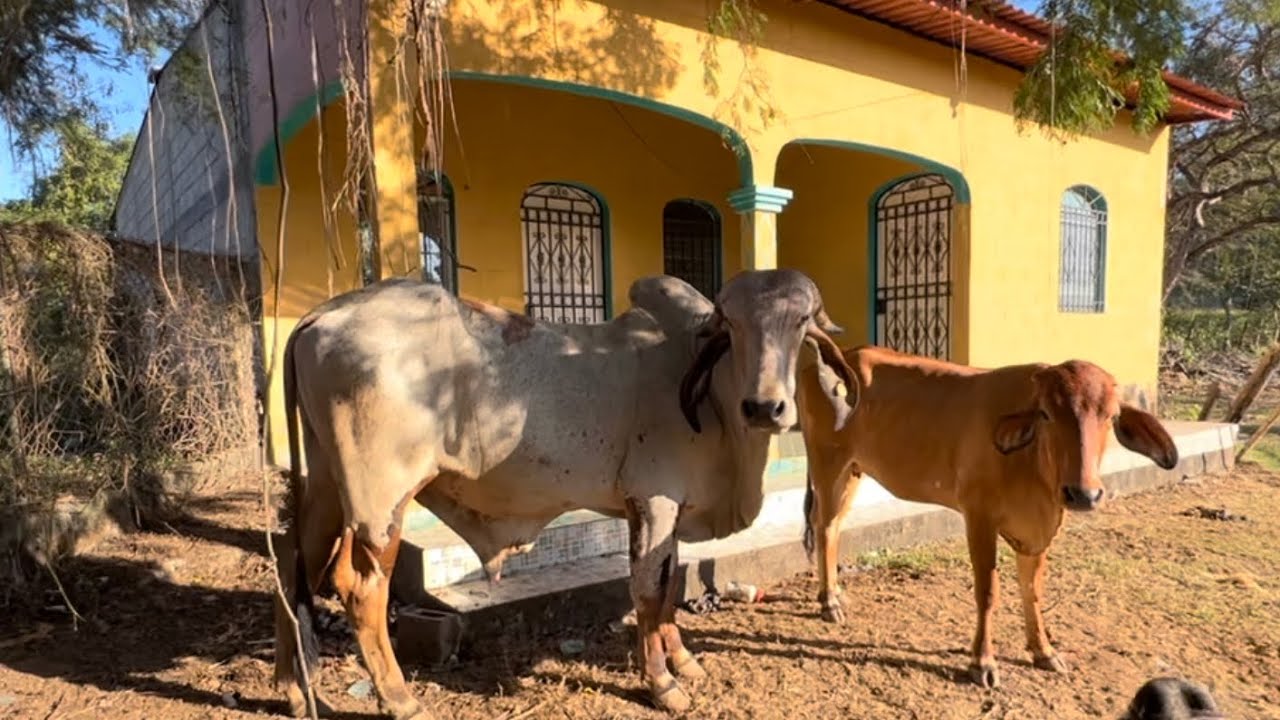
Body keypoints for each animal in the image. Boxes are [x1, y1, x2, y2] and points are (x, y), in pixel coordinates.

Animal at [272, 269, 857, 719]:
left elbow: (670, 584)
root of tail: (324, 315)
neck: (709, 390)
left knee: (292, 565)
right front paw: (663, 684)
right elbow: (649, 591)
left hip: (325, 483)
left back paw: (292, 691)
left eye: (801, 323)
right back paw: (400, 700)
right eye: (732, 325)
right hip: (381, 501)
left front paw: (685, 661)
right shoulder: (654, 501)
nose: (764, 408)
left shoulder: (665, 510)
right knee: (360, 588)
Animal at [794, 345, 1178, 688]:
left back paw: (835, 593)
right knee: (824, 526)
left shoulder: (1036, 533)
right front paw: (982, 662)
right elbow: (988, 592)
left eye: (1111, 417)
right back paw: (829, 602)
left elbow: (1032, 590)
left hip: (853, 471)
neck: (1033, 465)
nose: (1084, 494)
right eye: (1045, 414)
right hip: (829, 465)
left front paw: (1044, 652)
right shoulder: (979, 517)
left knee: (834, 527)